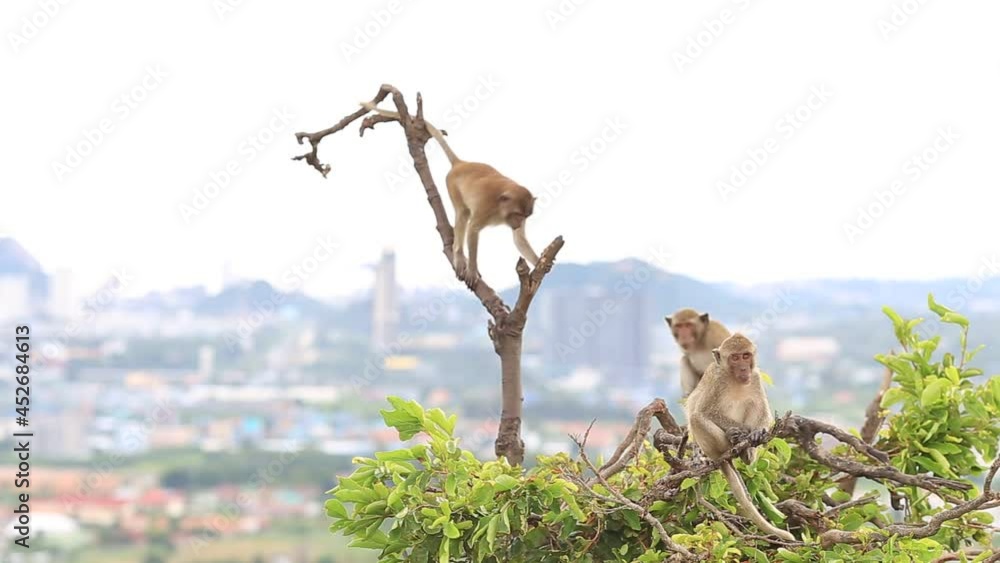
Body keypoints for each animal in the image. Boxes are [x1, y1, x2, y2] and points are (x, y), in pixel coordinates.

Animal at [360, 101, 540, 287]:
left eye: (525, 216)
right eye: (517, 214)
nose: (518, 223)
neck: (500, 206)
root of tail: (460, 164)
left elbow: (519, 239)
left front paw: (539, 262)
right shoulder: (485, 207)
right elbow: (473, 230)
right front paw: (473, 269)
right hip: (452, 186)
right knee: (462, 214)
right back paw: (459, 255)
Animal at [684, 333, 795, 542]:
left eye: (745, 356)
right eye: (734, 358)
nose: (744, 369)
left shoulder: (755, 378)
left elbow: (764, 413)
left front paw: (756, 432)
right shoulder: (717, 381)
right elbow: (704, 412)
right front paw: (741, 431)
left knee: (753, 403)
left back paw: (747, 453)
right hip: (713, 448)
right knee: (696, 418)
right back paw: (732, 442)